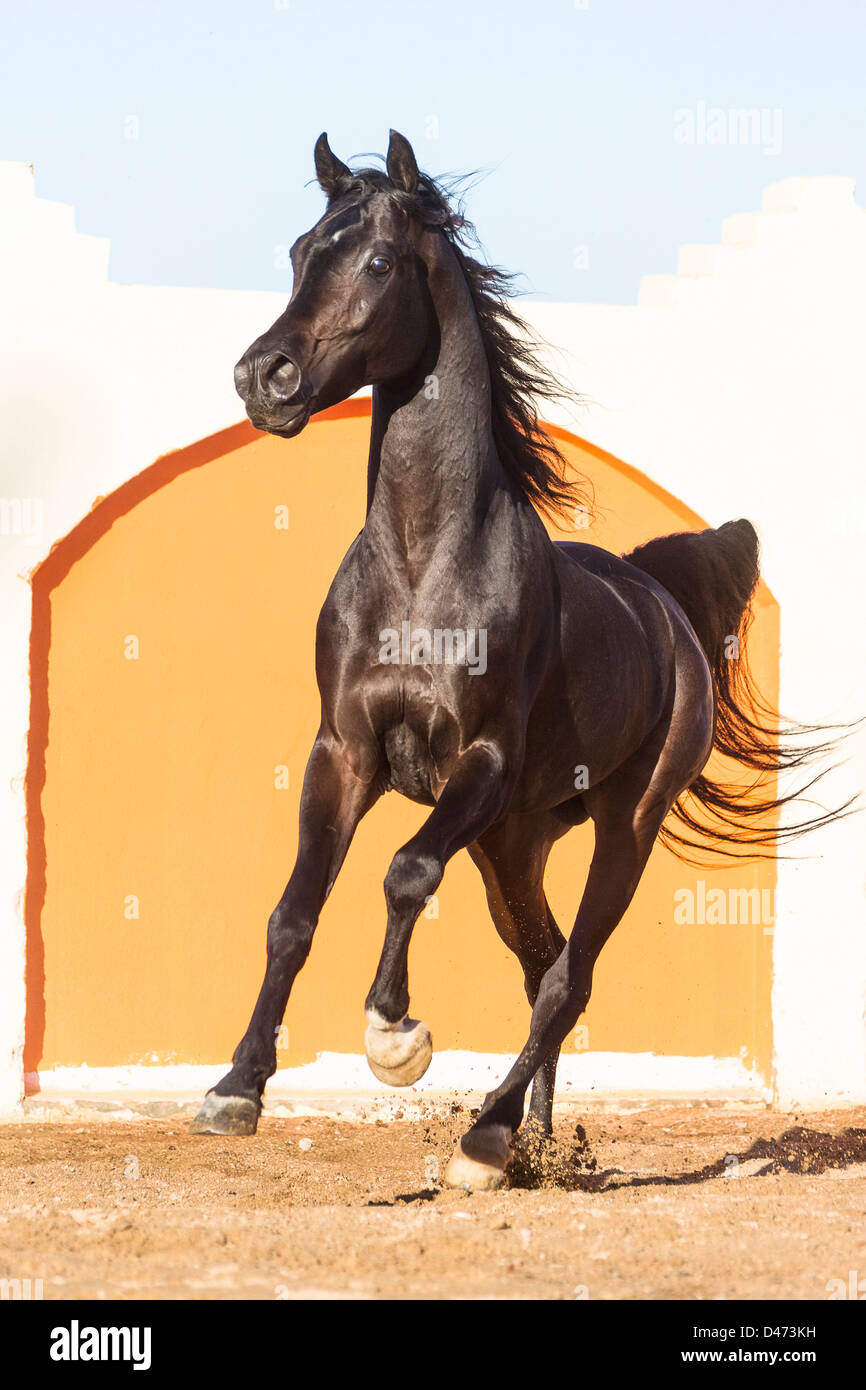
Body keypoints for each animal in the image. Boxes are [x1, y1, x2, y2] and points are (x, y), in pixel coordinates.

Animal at [191, 130, 845, 1189]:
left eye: (378, 261)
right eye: (298, 253)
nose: (265, 380)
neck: (423, 569)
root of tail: (663, 604)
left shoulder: (480, 763)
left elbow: (406, 872)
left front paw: (395, 1038)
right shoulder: (344, 754)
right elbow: (293, 912)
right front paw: (235, 1091)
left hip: (622, 829)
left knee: (570, 977)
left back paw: (487, 1140)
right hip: (513, 845)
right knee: (544, 965)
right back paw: (530, 1144)